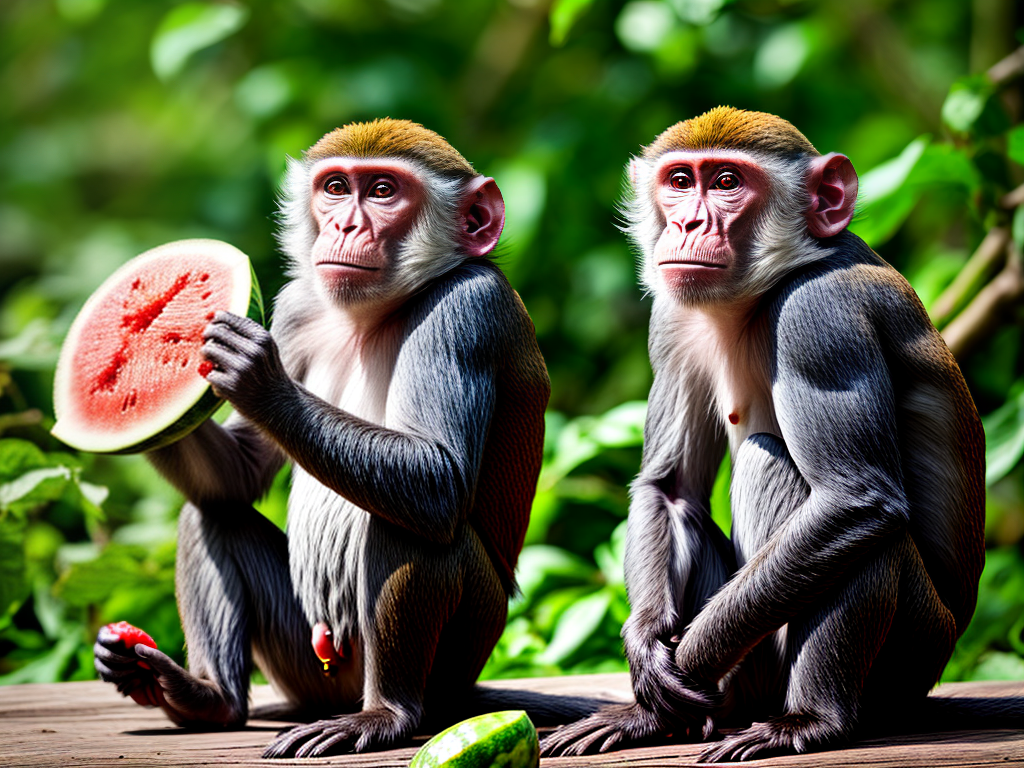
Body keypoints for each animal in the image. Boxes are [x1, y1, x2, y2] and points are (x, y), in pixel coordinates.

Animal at [92, 119, 567, 758]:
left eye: (384, 191)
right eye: (337, 188)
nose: (345, 226)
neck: (372, 315)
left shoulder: (468, 305)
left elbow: (439, 475)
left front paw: (259, 379)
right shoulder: (295, 307)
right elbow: (239, 475)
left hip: (465, 649)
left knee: (415, 525)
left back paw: (387, 713)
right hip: (310, 661)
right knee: (212, 513)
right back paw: (206, 698)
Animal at [541, 106, 1004, 761]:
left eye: (728, 181)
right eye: (679, 181)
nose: (688, 223)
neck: (761, 292)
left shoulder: (819, 317)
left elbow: (855, 499)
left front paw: (672, 677)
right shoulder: (672, 317)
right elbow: (668, 486)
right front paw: (645, 659)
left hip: (909, 653)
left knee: (848, 519)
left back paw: (812, 718)